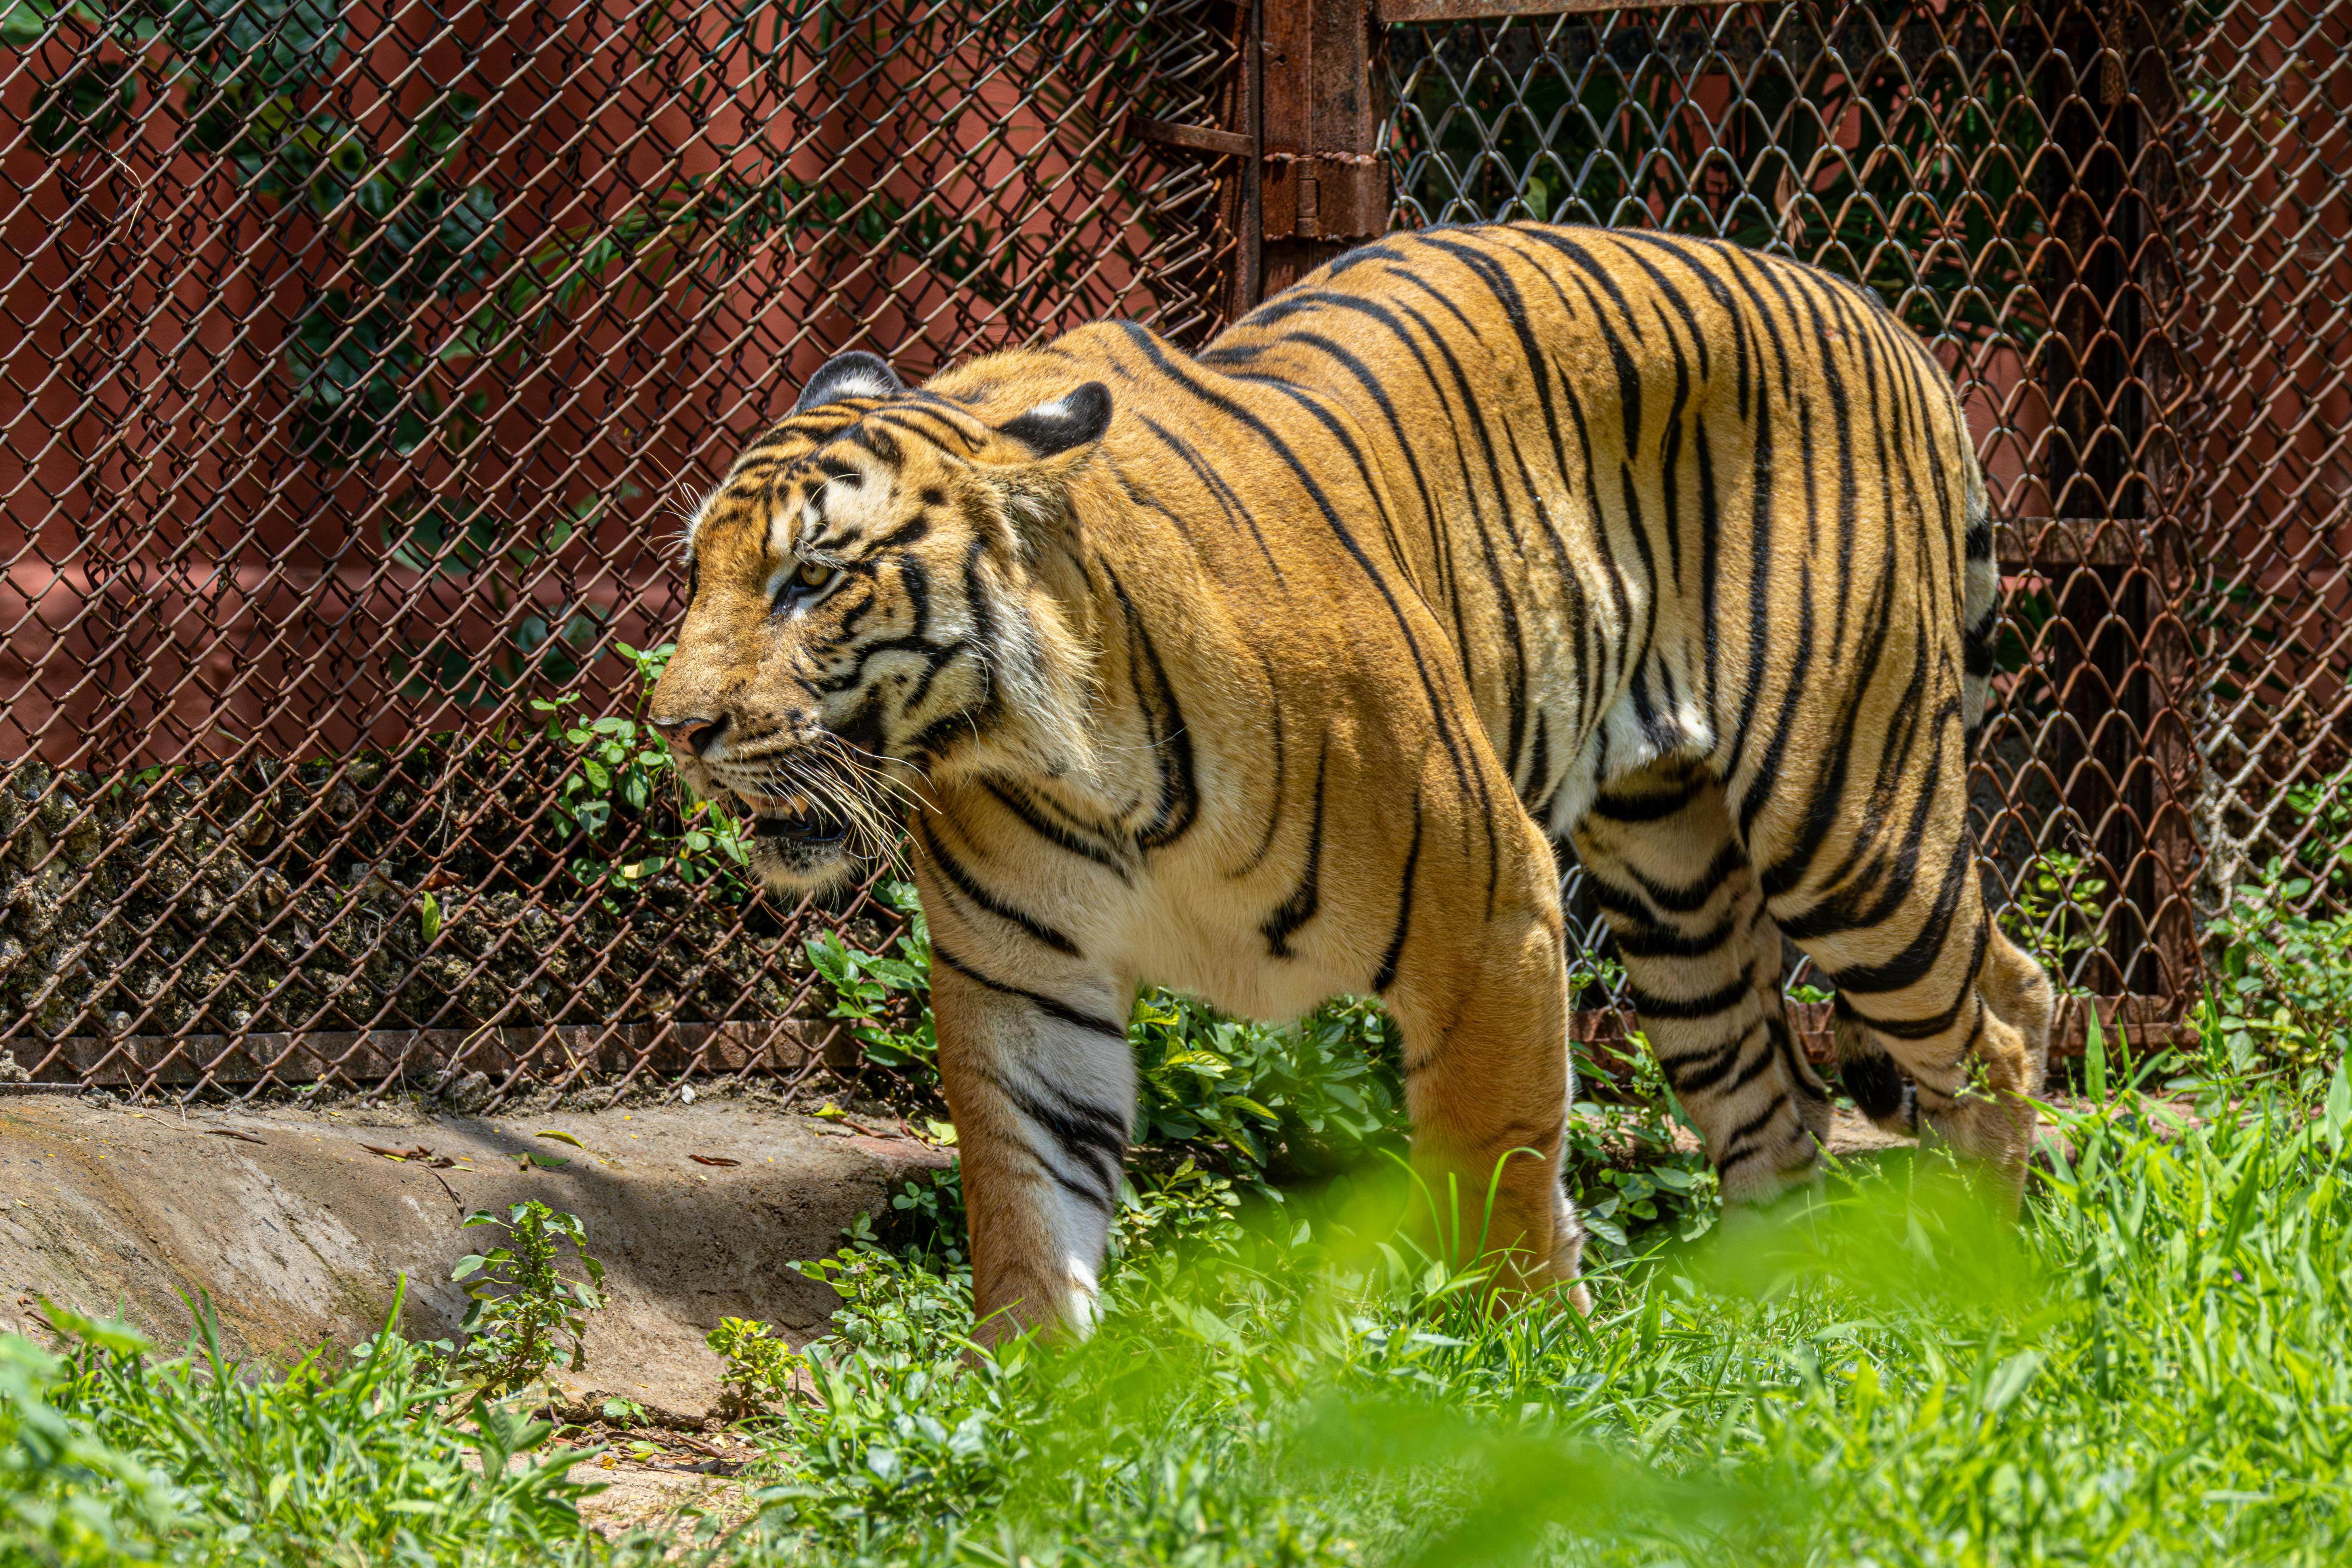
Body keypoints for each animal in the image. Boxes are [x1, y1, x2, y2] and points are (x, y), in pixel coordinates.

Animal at [648, 221, 2056, 1343]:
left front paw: (1526, 1363)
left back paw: (1981, 1278)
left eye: (811, 580)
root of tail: (1876, 310)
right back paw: (1784, 1314)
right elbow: (1023, 1189)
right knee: (1776, 1097)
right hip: (1677, 891)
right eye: (698, 572)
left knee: (1999, 1013)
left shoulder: (1488, 909)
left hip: (1846, 818)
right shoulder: (1022, 974)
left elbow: (1494, 1157)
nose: (678, 726)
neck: (1051, 748)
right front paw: (1033, 1397)